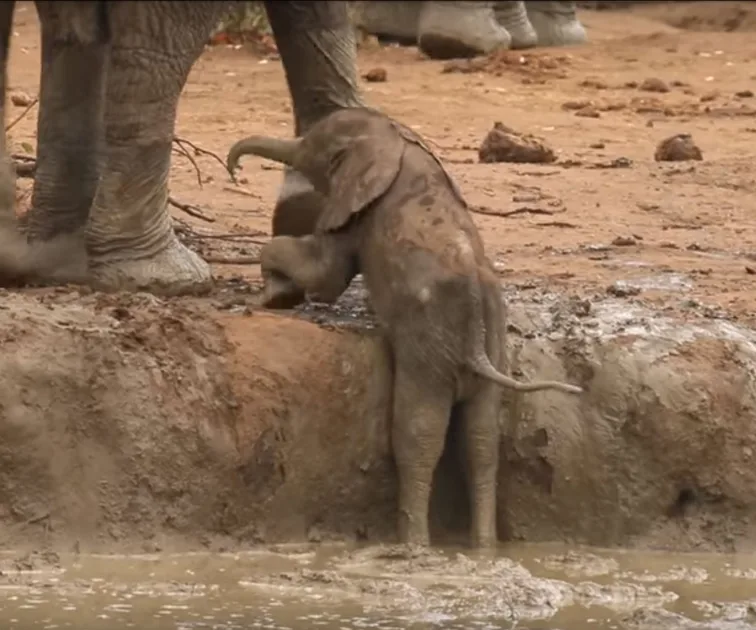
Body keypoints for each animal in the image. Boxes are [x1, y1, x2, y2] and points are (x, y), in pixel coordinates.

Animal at [226, 107, 583, 547]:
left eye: (317, 152)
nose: (235, 171)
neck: (397, 139)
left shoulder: (357, 216)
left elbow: (326, 273)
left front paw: (268, 296)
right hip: (492, 345)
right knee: (482, 440)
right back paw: (482, 548)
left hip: (427, 348)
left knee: (418, 433)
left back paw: (414, 543)